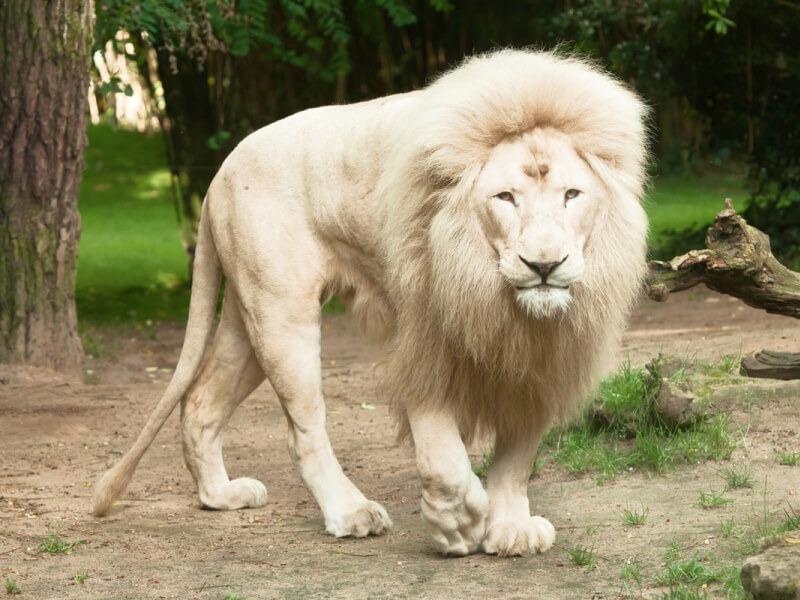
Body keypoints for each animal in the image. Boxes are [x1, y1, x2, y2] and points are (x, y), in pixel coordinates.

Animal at [93, 49, 648, 557]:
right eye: (505, 198)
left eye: (572, 195)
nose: (544, 265)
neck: (498, 300)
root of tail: (218, 175)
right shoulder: (424, 338)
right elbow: (442, 453)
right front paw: (457, 522)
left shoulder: (544, 357)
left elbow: (518, 455)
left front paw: (511, 528)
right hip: (281, 310)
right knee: (304, 429)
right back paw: (350, 512)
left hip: (244, 317)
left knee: (201, 401)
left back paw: (220, 495)